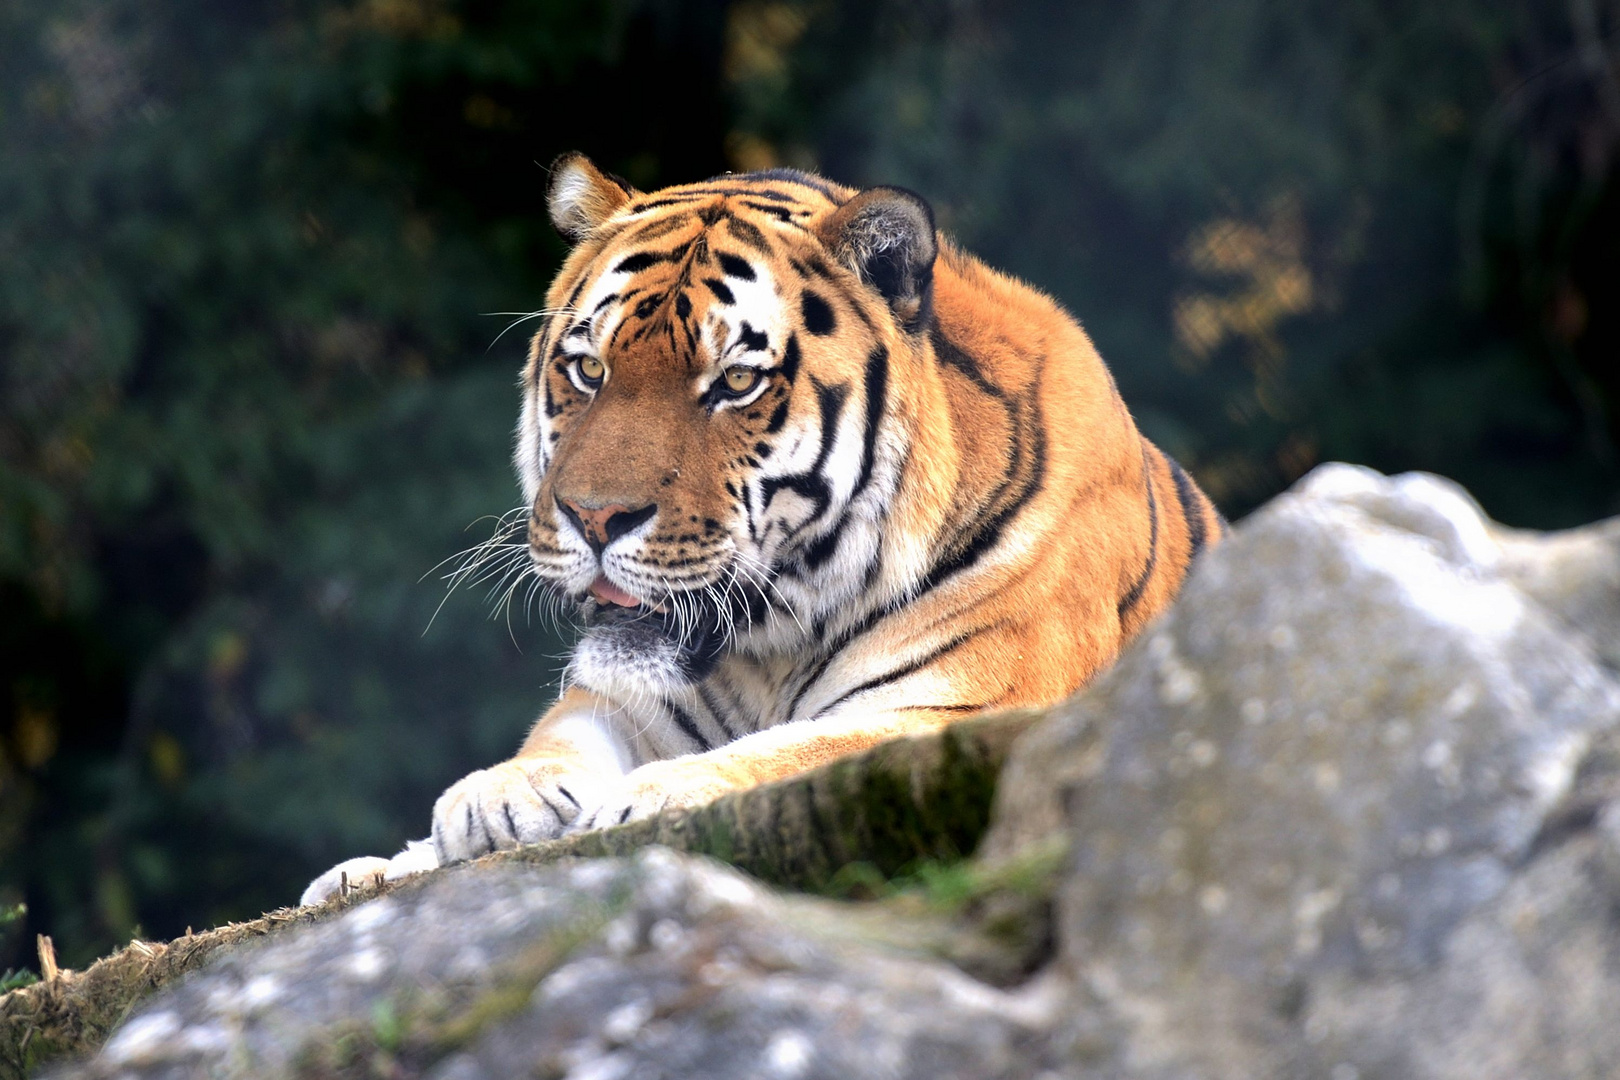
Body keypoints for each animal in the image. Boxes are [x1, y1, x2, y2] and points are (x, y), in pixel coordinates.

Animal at [301, 153, 1223, 905]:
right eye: (588, 368)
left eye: (736, 382)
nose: (594, 518)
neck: (770, 643)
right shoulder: (632, 693)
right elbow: (564, 732)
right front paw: (486, 801)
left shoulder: (970, 706)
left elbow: (799, 749)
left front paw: (653, 794)